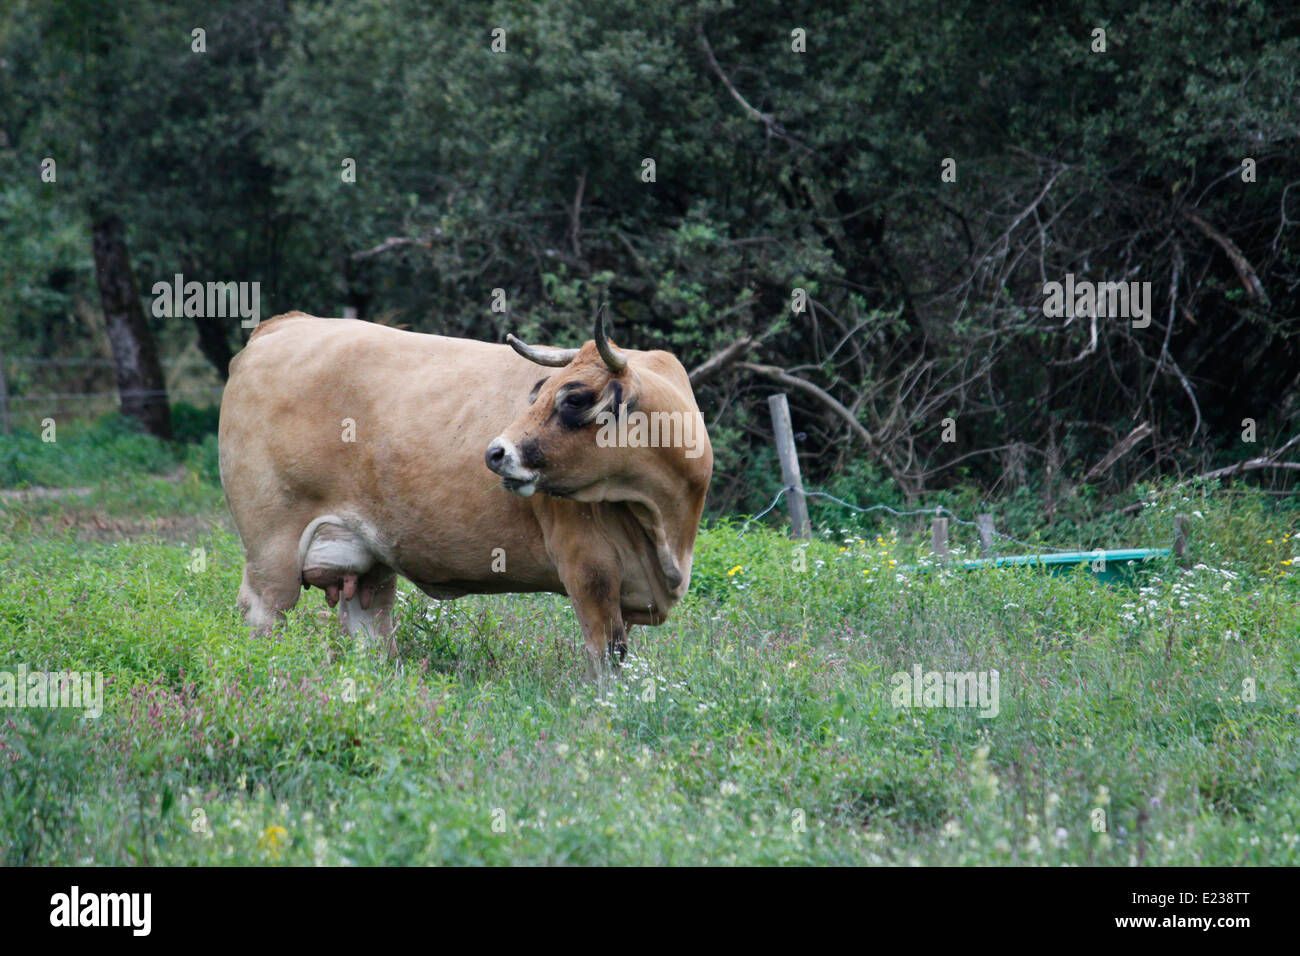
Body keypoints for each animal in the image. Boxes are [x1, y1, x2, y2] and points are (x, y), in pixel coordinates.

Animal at [217, 311, 712, 673]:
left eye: (573, 398)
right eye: (537, 393)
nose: (494, 453)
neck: (666, 526)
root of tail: (284, 324)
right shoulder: (589, 569)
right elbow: (606, 657)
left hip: (368, 561)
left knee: (371, 633)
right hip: (272, 554)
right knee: (265, 617)